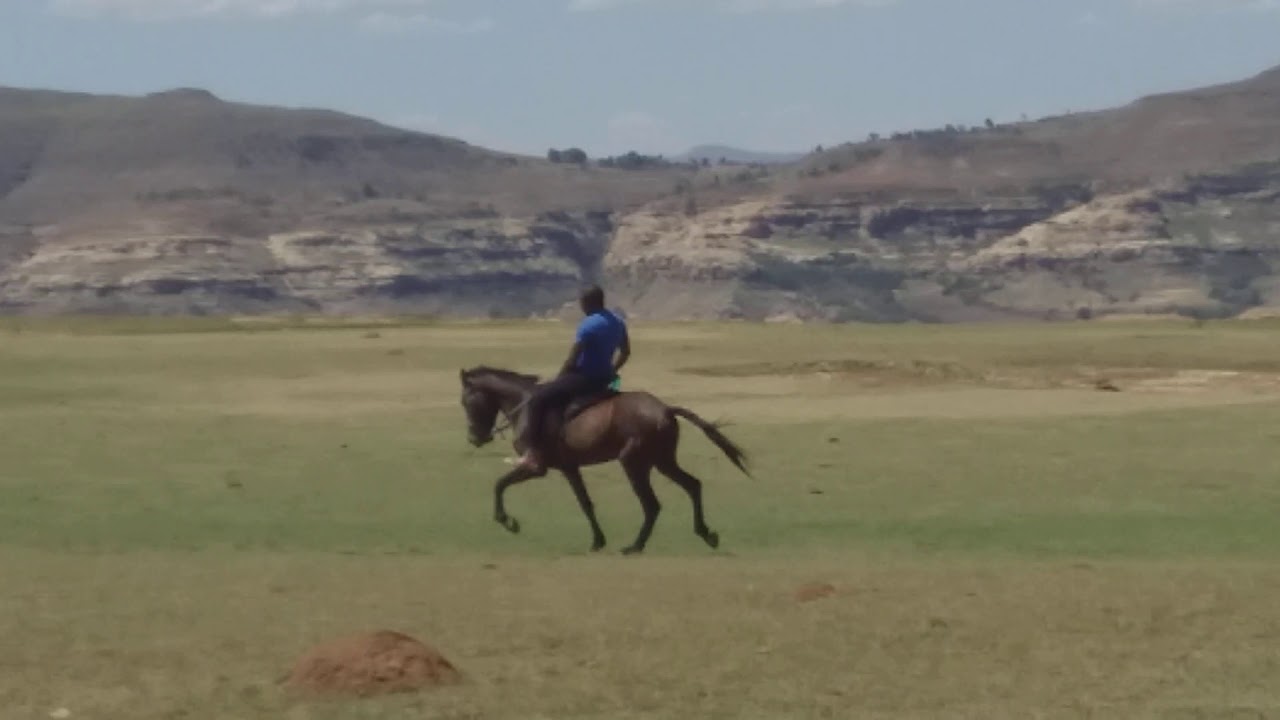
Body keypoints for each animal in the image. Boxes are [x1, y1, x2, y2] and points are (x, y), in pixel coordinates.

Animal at [459, 366, 751, 555]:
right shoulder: (569, 467)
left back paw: (635, 546)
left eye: (466, 402)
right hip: (663, 462)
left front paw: (507, 521)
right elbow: (586, 504)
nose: (474, 438)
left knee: (652, 504)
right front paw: (597, 541)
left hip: (634, 463)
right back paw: (705, 533)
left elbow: (499, 484)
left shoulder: (535, 467)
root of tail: (665, 409)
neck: (524, 404)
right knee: (693, 485)